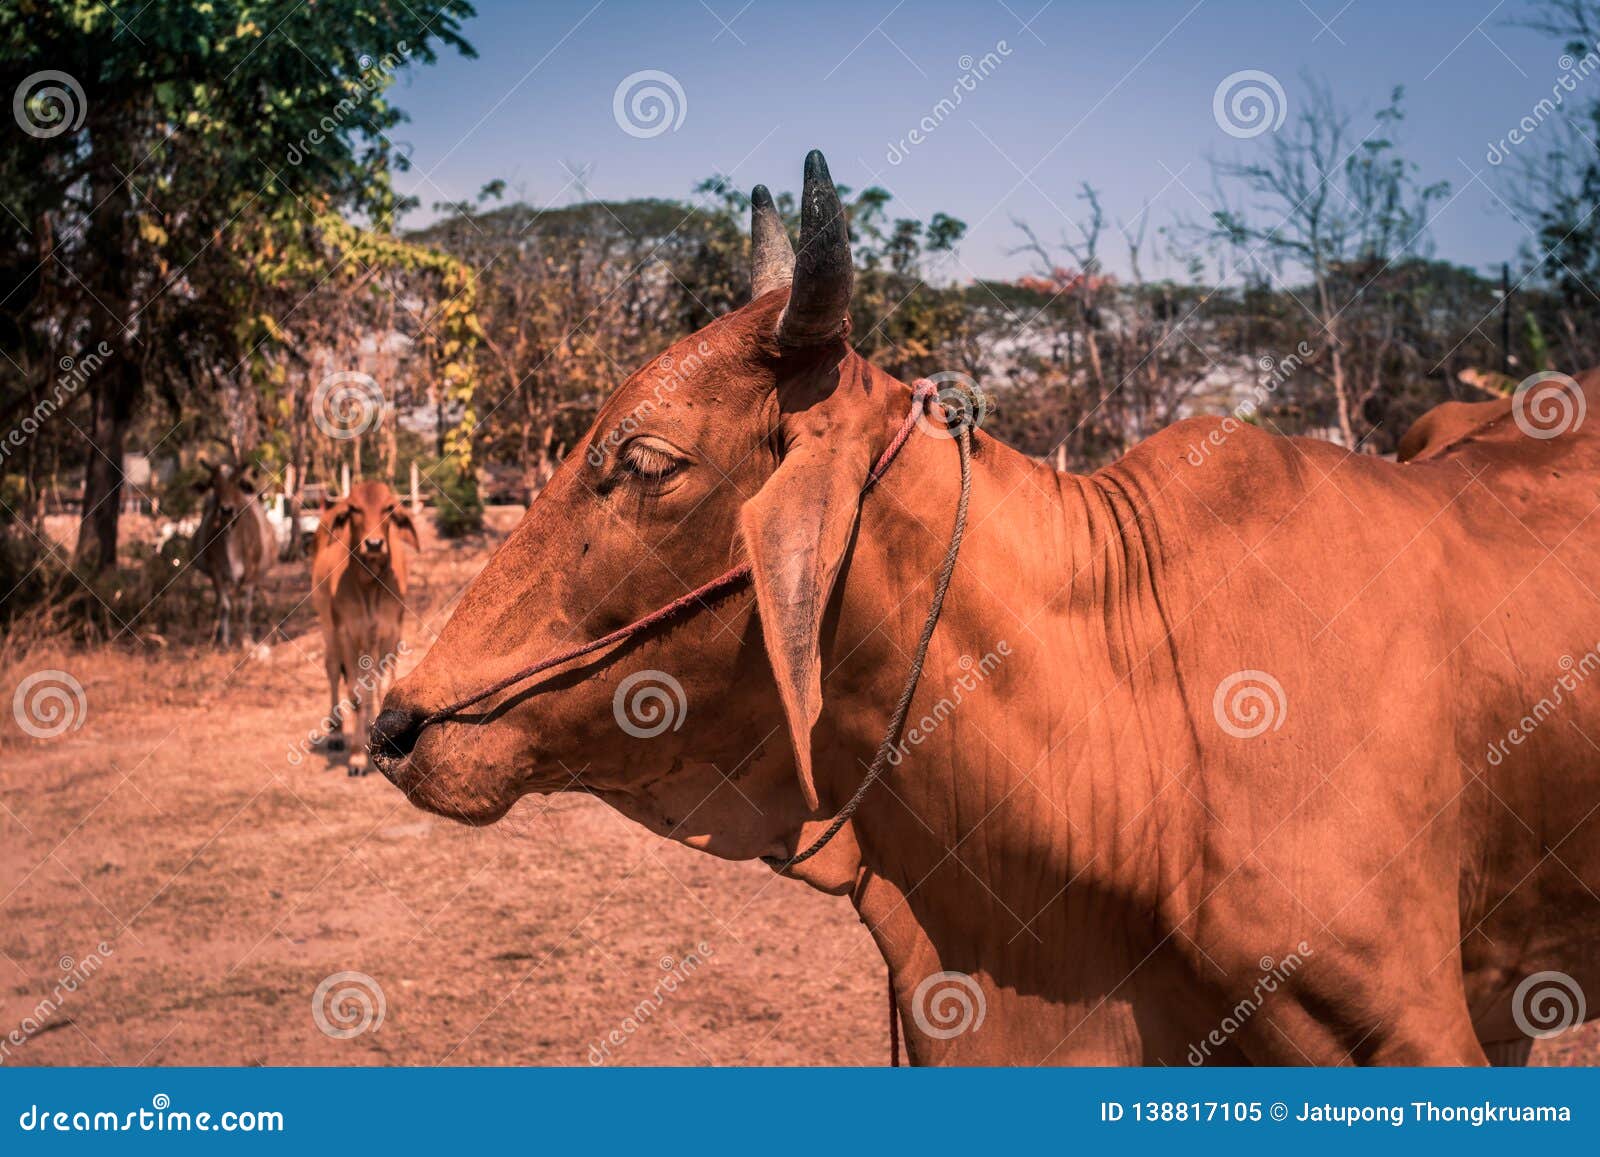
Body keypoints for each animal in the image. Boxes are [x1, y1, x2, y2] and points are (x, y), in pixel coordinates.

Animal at [194, 461, 277, 647]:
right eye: (213, 483)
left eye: (237, 483)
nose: (226, 510)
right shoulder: (215, 571)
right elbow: (225, 605)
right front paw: (225, 641)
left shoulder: (251, 572)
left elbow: (246, 607)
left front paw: (247, 639)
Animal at [311, 480, 419, 776]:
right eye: (354, 509)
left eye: (388, 508)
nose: (373, 543)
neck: (370, 584)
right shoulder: (347, 634)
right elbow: (355, 695)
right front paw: (357, 757)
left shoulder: (391, 631)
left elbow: (383, 687)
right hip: (328, 627)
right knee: (333, 669)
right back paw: (337, 734)